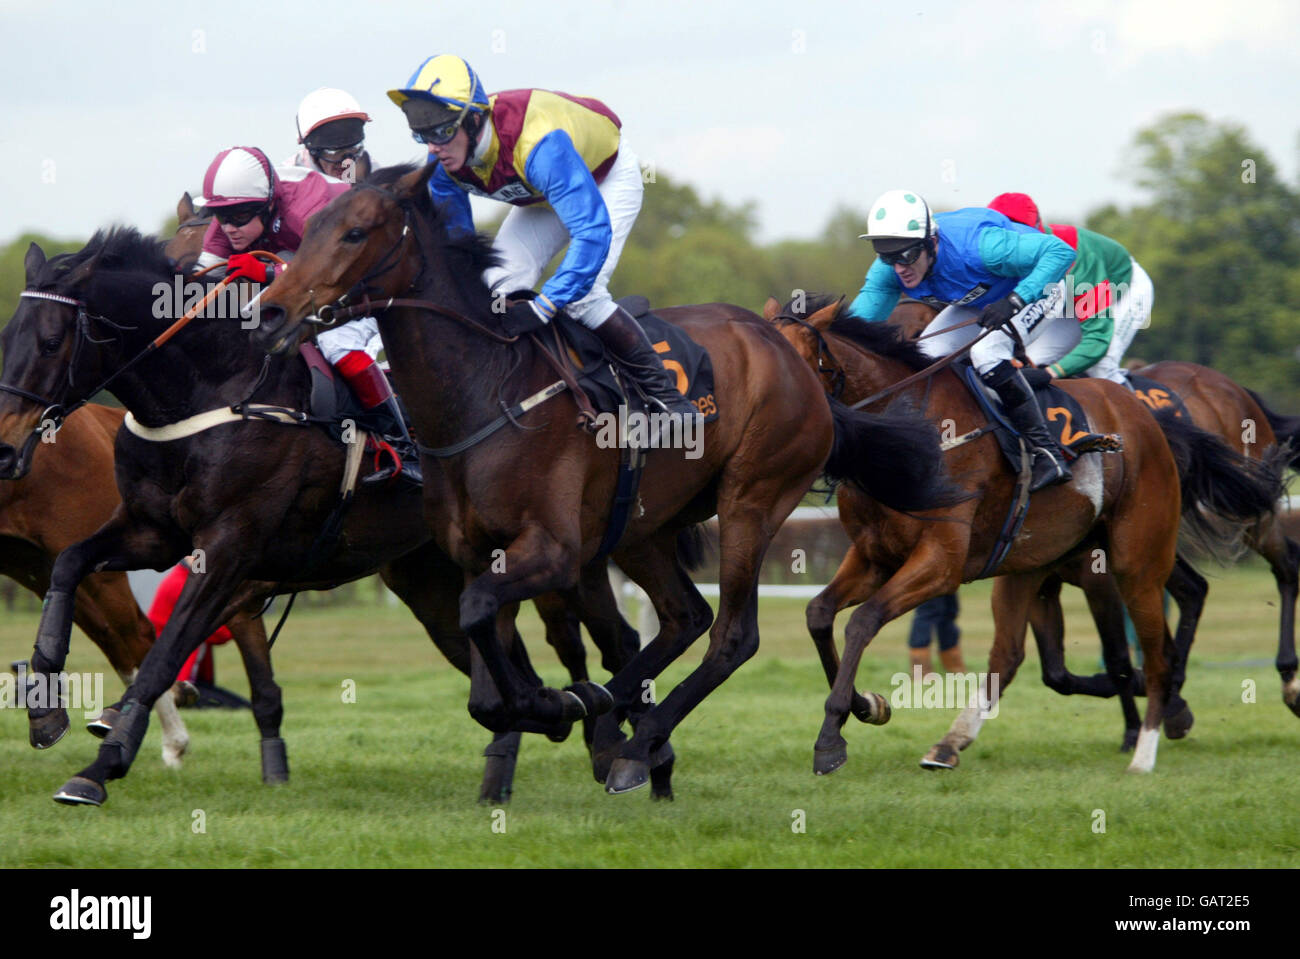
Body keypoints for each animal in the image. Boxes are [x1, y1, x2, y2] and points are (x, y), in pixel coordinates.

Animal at [0, 230, 638, 806]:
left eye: (52, 341)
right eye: (8, 337)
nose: (4, 450)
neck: (214, 391)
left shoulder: (227, 549)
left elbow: (162, 656)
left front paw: (100, 767)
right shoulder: (153, 533)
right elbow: (69, 565)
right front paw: (44, 706)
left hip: (547, 556)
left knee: (603, 640)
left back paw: (612, 745)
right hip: (432, 584)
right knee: (513, 664)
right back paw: (538, 742)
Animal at [250, 162, 965, 796]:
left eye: (355, 232)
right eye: (308, 230)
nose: (272, 311)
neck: (486, 389)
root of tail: (791, 359)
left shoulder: (556, 552)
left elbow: (483, 618)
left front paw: (556, 707)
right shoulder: (477, 553)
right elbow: (485, 681)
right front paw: (558, 705)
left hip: (751, 500)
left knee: (732, 637)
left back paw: (641, 741)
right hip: (643, 527)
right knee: (684, 617)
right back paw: (620, 720)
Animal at [766, 294, 1278, 773]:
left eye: (800, 362)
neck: (907, 438)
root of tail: (1149, 419)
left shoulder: (941, 562)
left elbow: (863, 620)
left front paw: (832, 737)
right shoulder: (874, 556)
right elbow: (819, 614)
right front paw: (864, 705)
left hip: (1136, 561)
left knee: (1160, 650)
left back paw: (1147, 746)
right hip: (1031, 564)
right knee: (1012, 657)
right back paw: (951, 743)